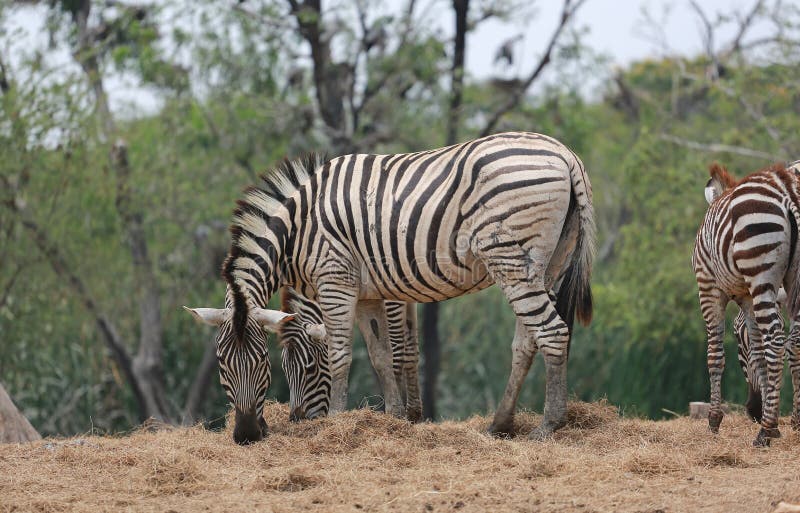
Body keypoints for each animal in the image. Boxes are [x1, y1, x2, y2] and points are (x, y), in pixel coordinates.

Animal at [279, 286, 422, 422]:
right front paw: (413, 414)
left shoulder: (390, 297)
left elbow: (395, 350)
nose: (296, 419)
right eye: (284, 369)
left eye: (311, 368)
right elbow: (411, 350)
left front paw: (397, 411)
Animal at [693, 162, 800, 446]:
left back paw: (764, 432)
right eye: (740, 340)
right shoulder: (748, 298)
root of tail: (787, 189)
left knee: (776, 340)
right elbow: (761, 354)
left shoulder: (708, 286)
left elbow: (714, 355)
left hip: (760, 266)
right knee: (791, 342)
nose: (753, 410)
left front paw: (714, 419)